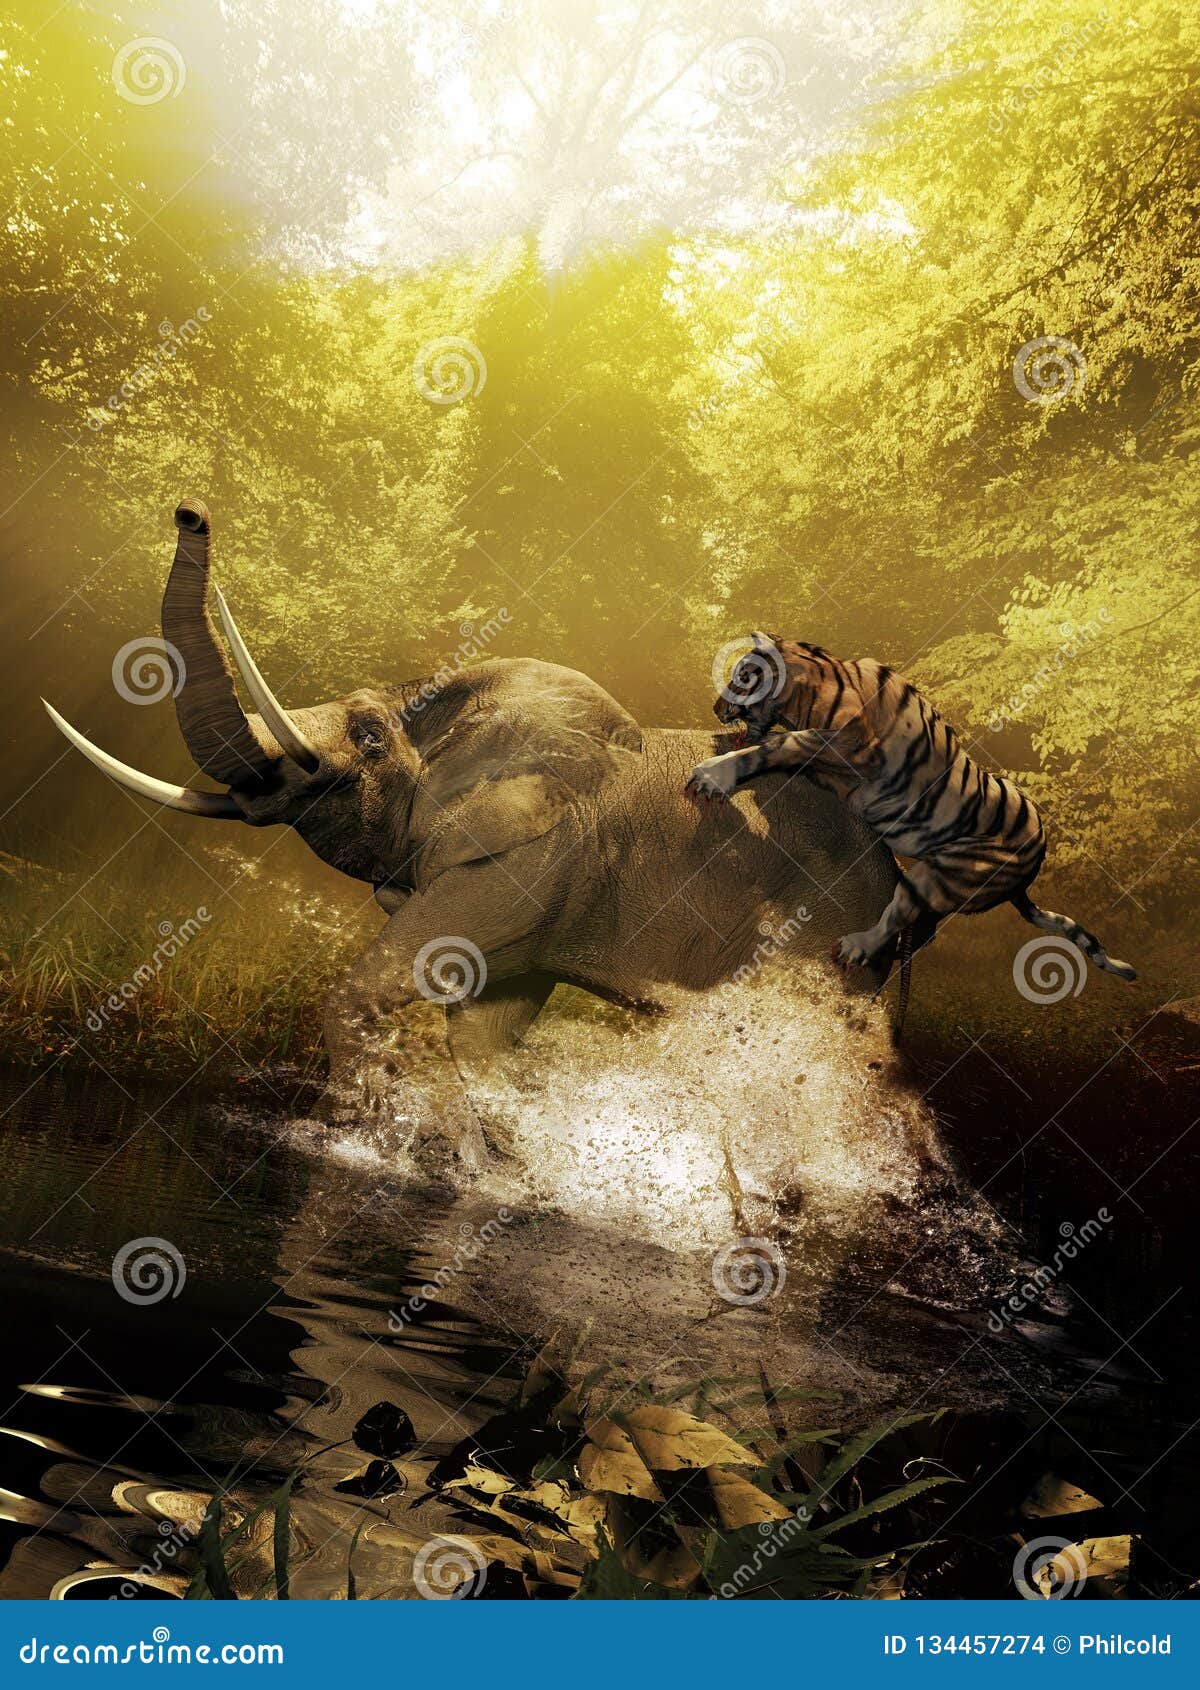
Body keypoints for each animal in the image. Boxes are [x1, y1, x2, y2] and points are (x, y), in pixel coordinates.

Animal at [45, 500, 906, 1173]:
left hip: (828, 940)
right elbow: (484, 1035)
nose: (190, 513)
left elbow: (385, 985)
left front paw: (390, 1144)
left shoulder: (527, 857)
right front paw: (488, 1166)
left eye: (366, 735)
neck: (437, 706)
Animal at [685, 632, 1137, 981]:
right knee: (922, 929)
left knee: (897, 917)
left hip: (937, 878)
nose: (715, 709)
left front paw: (712, 775)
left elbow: (774, 747)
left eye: (741, 678)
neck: (812, 688)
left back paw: (856, 947)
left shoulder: (846, 744)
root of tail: (1035, 862)